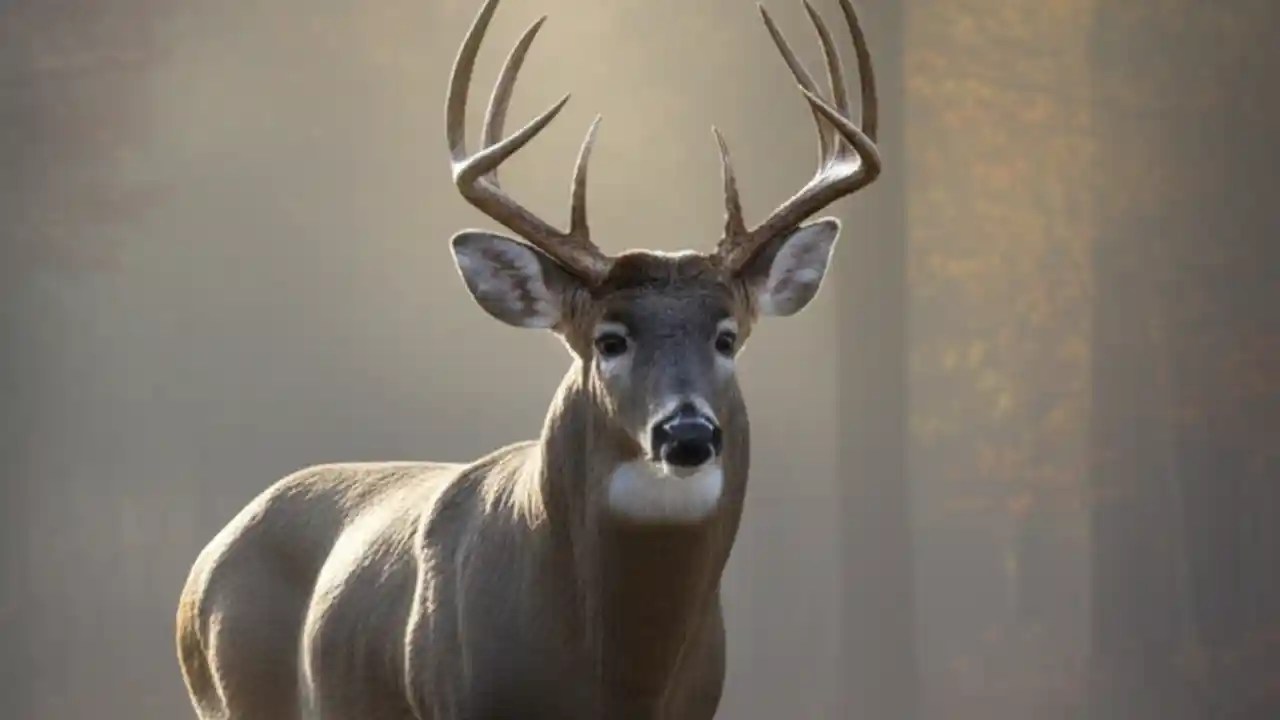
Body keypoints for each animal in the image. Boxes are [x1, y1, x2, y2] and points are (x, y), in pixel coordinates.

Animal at [175, 0, 880, 717]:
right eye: (609, 339)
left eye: (726, 337)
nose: (687, 433)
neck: (617, 677)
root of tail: (204, 565)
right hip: (232, 695)